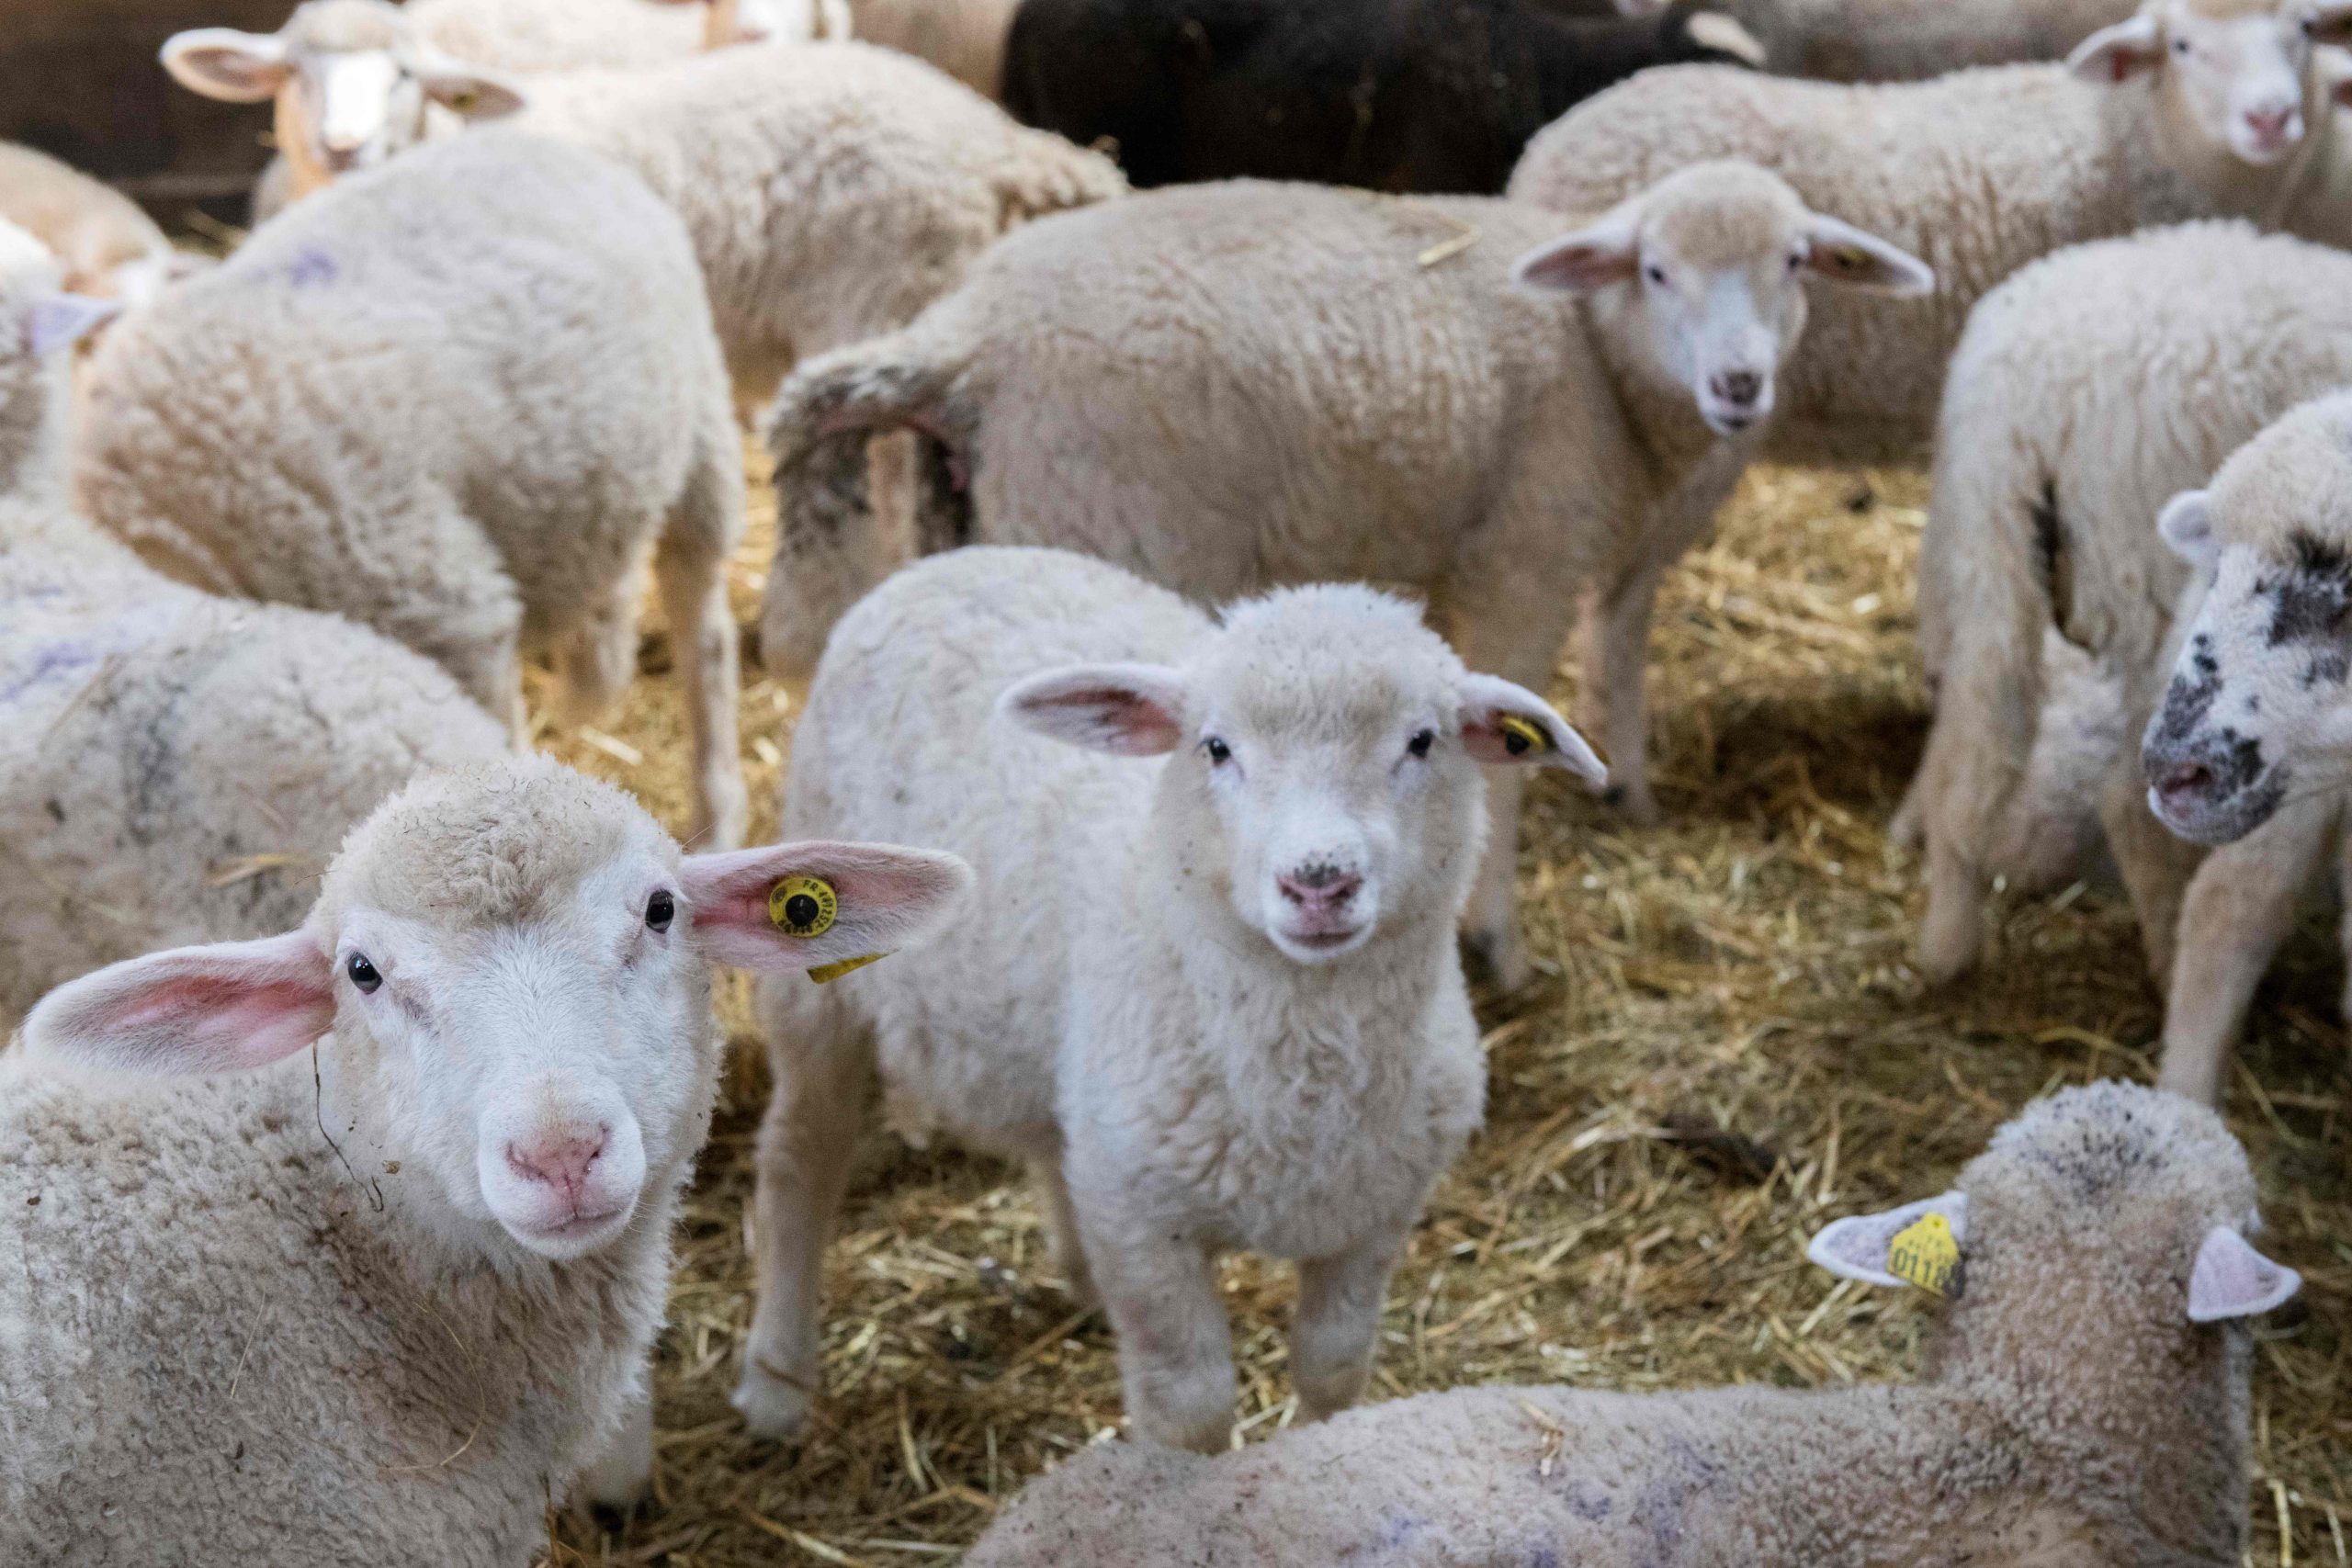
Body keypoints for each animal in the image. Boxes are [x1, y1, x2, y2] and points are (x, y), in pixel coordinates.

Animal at [734, 545, 1607, 1449]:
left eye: (1422, 741)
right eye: (1215, 747)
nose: (1318, 881)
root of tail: (957, 558)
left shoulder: (1372, 1214)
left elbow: (1334, 1368)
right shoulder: (1146, 1224)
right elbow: (1190, 1407)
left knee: (1050, 1135)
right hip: (818, 985)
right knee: (801, 1156)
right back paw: (776, 1383)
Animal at [755, 165, 1930, 988]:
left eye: (1795, 262)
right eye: (1655, 270)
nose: (1739, 384)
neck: (1601, 361)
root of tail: (958, 343)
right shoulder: (1525, 560)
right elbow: (1506, 765)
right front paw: (1495, 944)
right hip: (1099, 526)